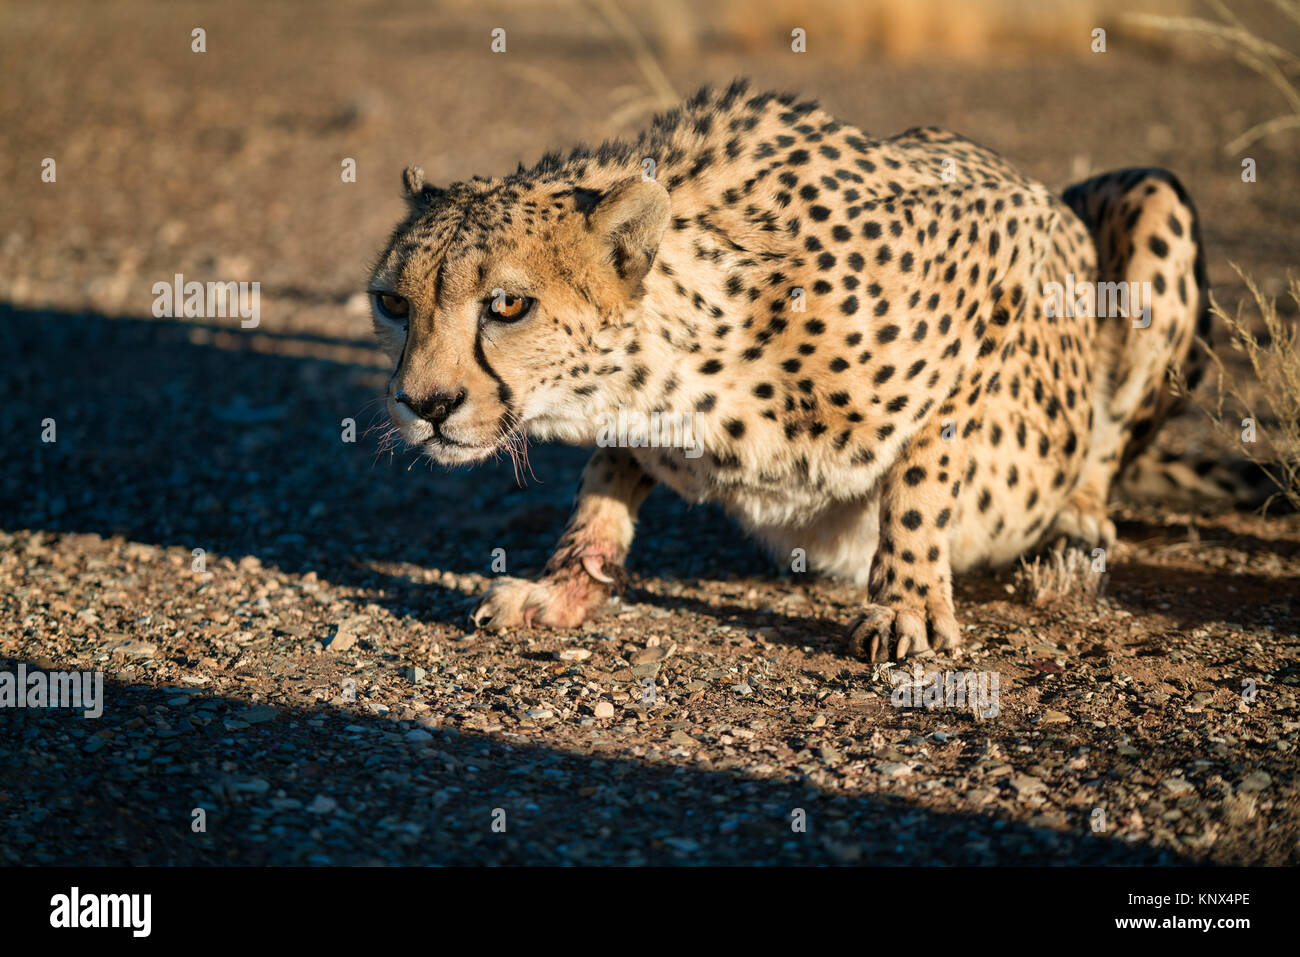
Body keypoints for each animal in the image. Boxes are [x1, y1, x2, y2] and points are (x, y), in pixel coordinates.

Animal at [366, 79, 1211, 661]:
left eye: (508, 304)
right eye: (393, 303)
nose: (424, 404)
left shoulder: (1015, 248)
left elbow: (924, 471)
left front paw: (905, 602)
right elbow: (604, 484)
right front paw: (564, 587)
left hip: (1154, 197)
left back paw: (1079, 514)